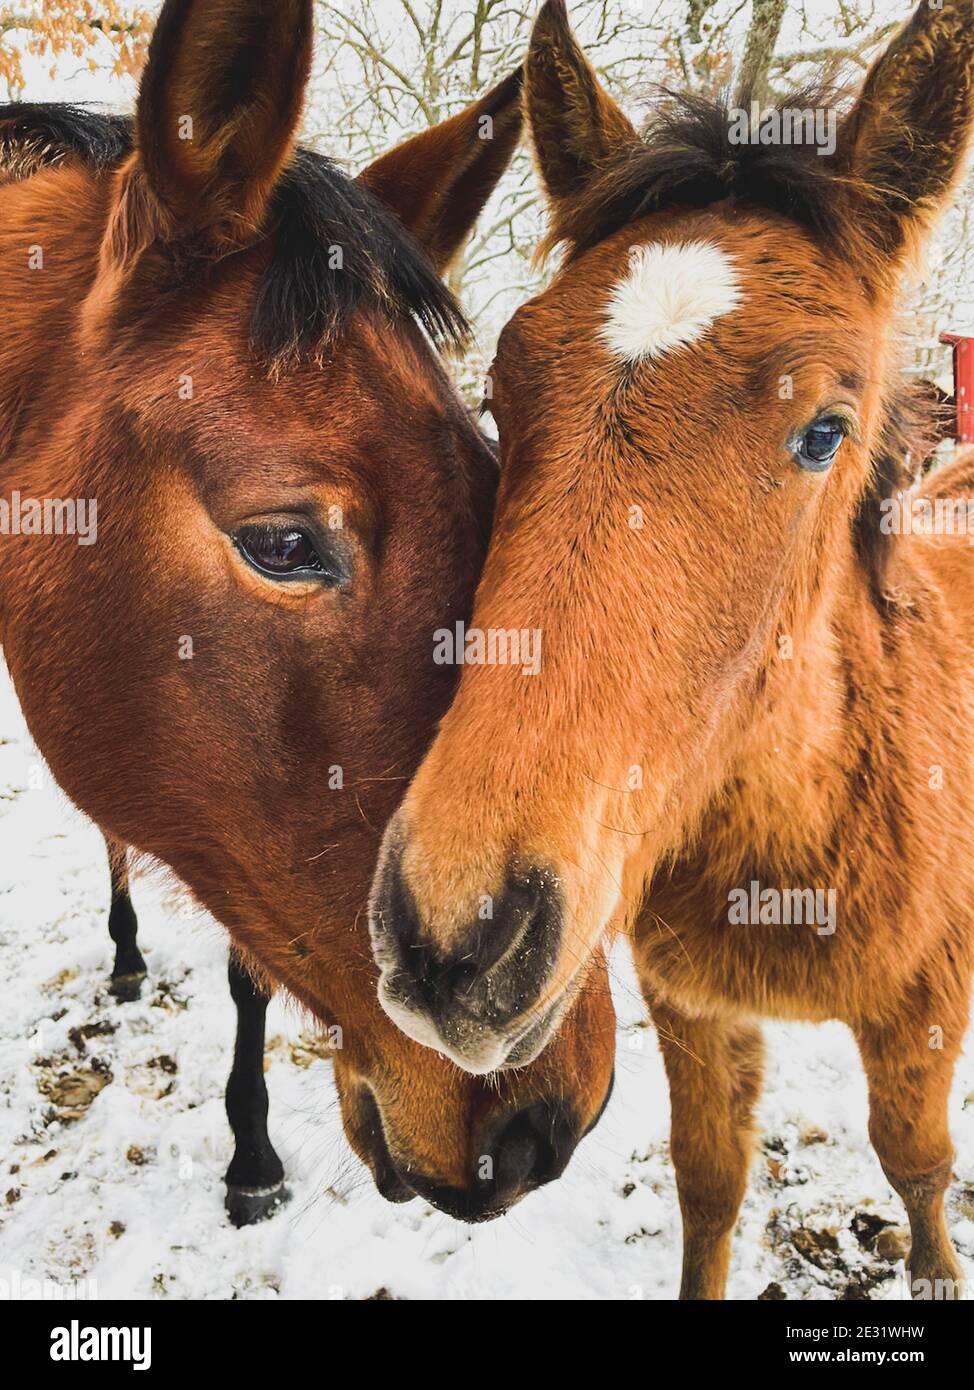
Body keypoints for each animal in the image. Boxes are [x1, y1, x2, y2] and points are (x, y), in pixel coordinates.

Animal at [369, 0, 974, 1295]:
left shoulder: (922, 1011)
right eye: (499, 396)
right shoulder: (694, 1013)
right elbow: (709, 1189)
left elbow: (914, 1163)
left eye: (823, 430)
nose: (454, 936)